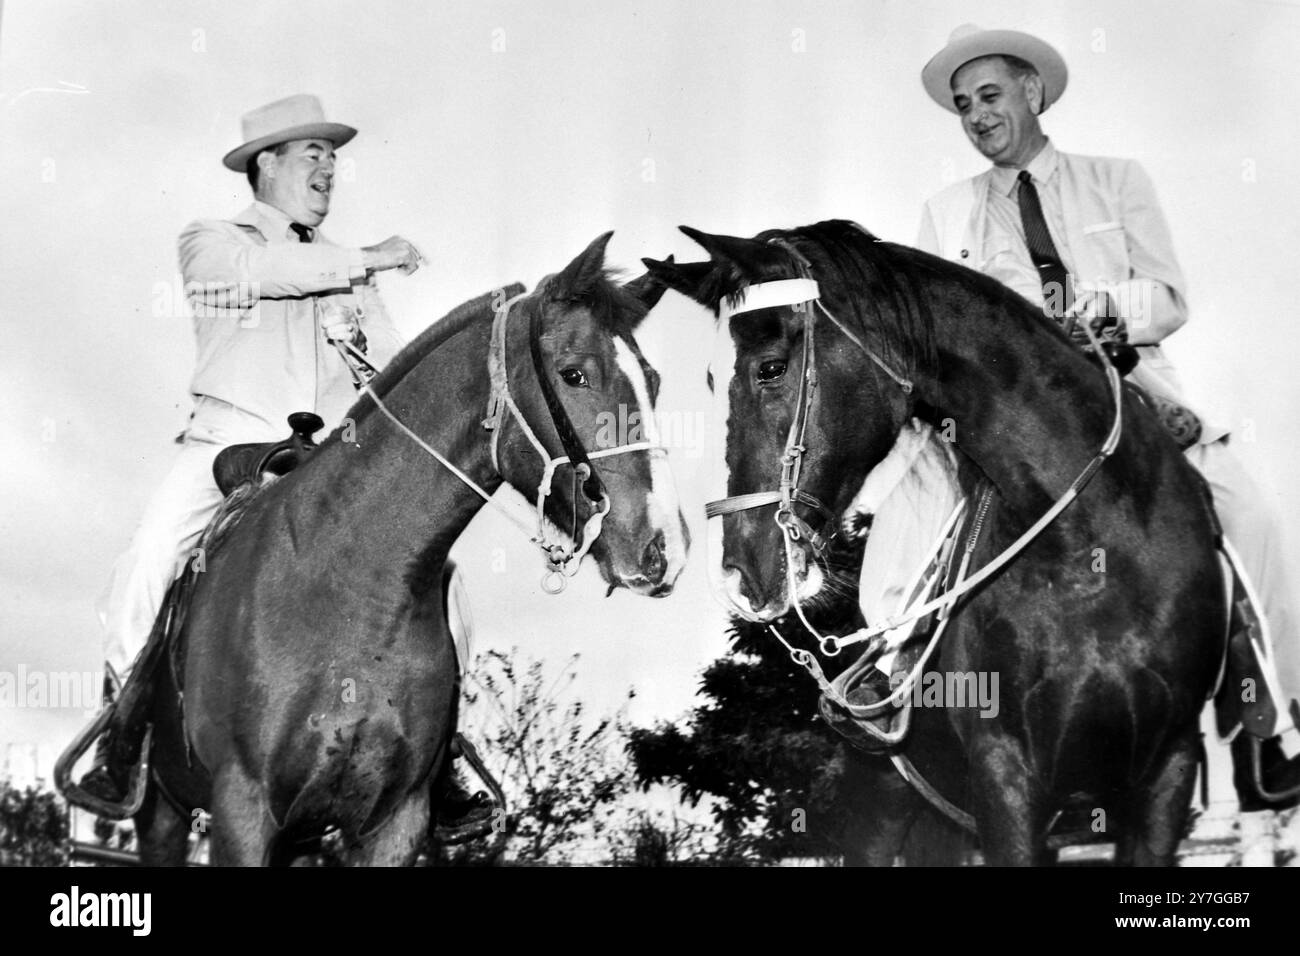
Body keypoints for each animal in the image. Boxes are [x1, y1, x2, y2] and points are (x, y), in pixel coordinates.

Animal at [98, 233, 688, 866]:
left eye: (653, 382)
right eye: (574, 374)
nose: (664, 548)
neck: (353, 585)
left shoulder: (394, 821)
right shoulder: (242, 811)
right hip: (163, 814)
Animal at [641, 219, 1224, 866]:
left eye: (769, 368)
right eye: (710, 380)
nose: (737, 574)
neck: (1093, 557)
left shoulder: (1166, 771)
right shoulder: (1005, 778)